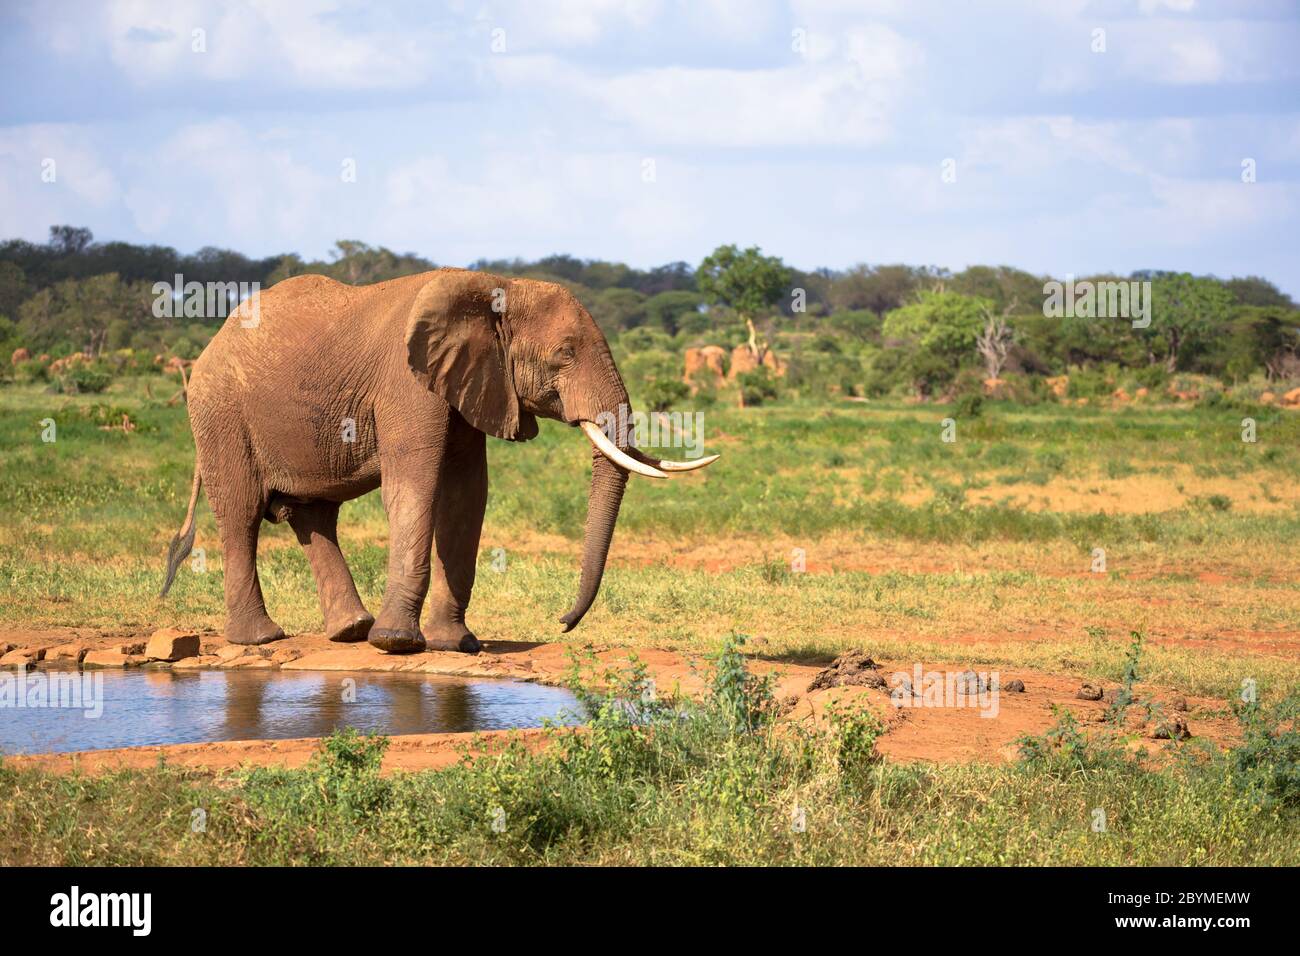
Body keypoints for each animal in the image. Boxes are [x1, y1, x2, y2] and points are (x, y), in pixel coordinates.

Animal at [159, 268, 717, 654]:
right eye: (565, 353)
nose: (562, 621)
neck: (496, 286)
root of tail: (209, 345)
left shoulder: (473, 382)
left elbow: (466, 495)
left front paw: (455, 644)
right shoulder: (408, 385)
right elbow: (414, 486)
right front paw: (398, 644)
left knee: (313, 515)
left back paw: (351, 630)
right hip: (220, 414)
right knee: (242, 513)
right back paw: (261, 639)